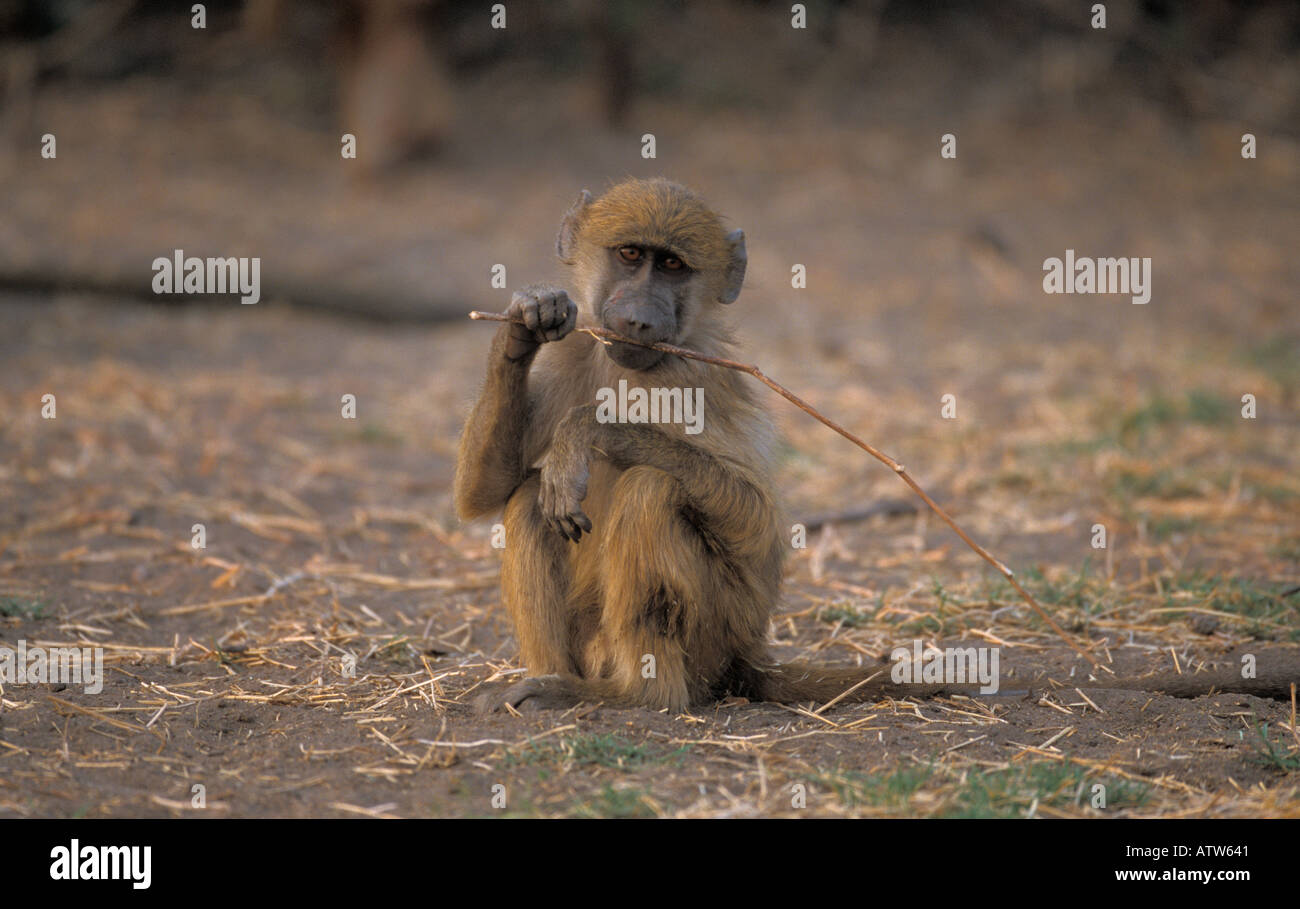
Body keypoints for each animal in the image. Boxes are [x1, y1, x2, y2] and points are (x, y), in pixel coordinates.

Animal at [455, 177, 1299, 713]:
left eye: (672, 266)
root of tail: (746, 654)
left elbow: (756, 523)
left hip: (721, 629)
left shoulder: (707, 377)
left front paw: (587, 433)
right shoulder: (581, 353)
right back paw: (562, 677)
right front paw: (526, 319)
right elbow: (483, 493)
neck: (636, 362)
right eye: (630, 256)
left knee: (651, 490)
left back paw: (636, 694)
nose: (637, 316)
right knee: (529, 500)